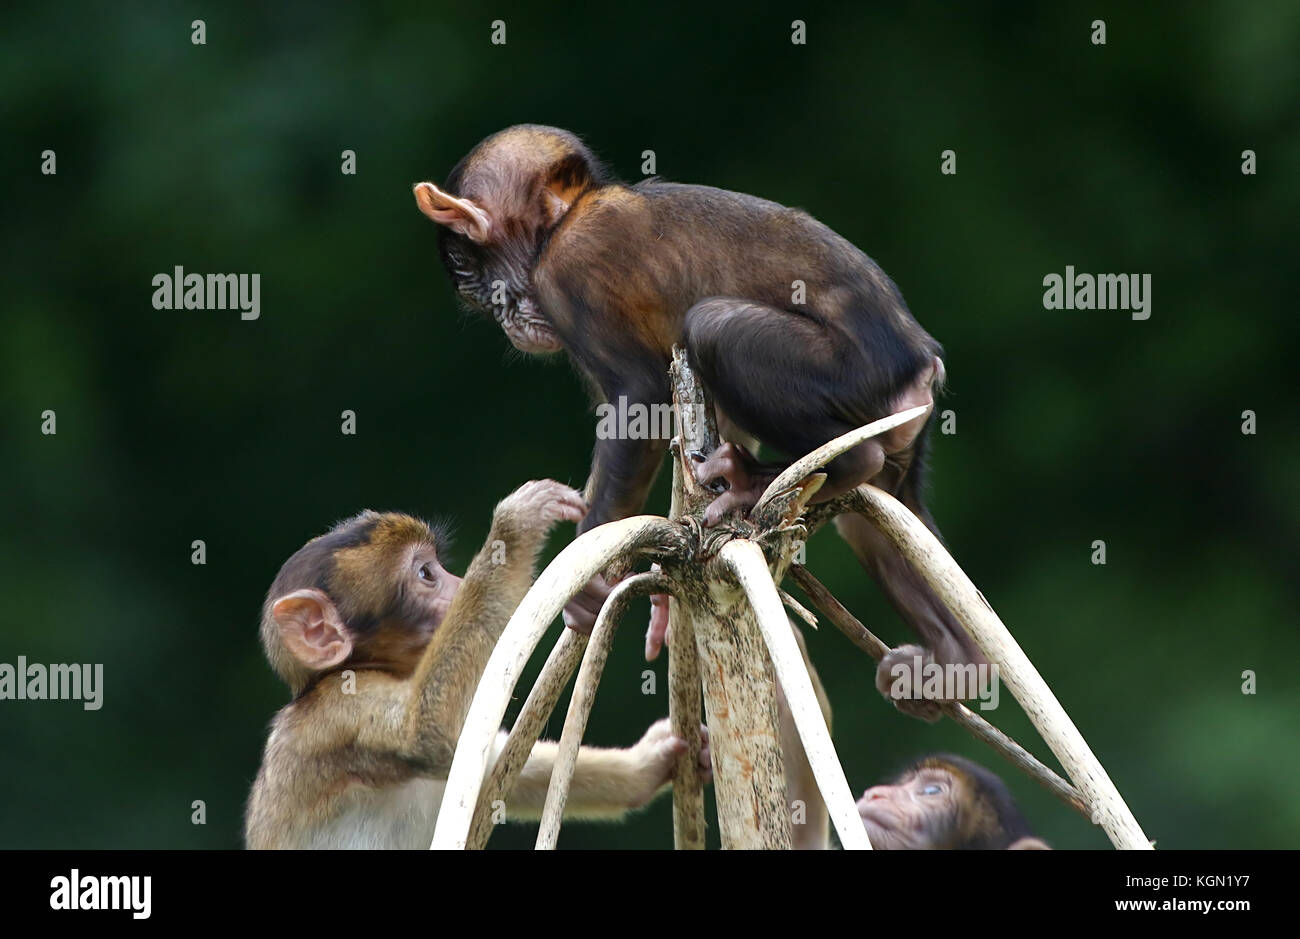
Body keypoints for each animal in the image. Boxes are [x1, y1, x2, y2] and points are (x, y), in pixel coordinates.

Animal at [245, 480, 710, 849]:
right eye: (426, 574)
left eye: (438, 568)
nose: (458, 584)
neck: (369, 666)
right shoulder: (341, 708)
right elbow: (424, 731)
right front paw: (515, 527)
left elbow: (500, 773)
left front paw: (649, 764)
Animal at [414, 125, 982, 721]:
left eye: (473, 280)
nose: (506, 320)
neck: (566, 216)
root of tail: (921, 365)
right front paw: (662, 599)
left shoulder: (570, 269)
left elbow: (638, 401)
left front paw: (590, 578)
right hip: (898, 433)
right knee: (878, 520)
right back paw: (953, 659)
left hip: (852, 376)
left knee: (715, 329)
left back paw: (785, 475)